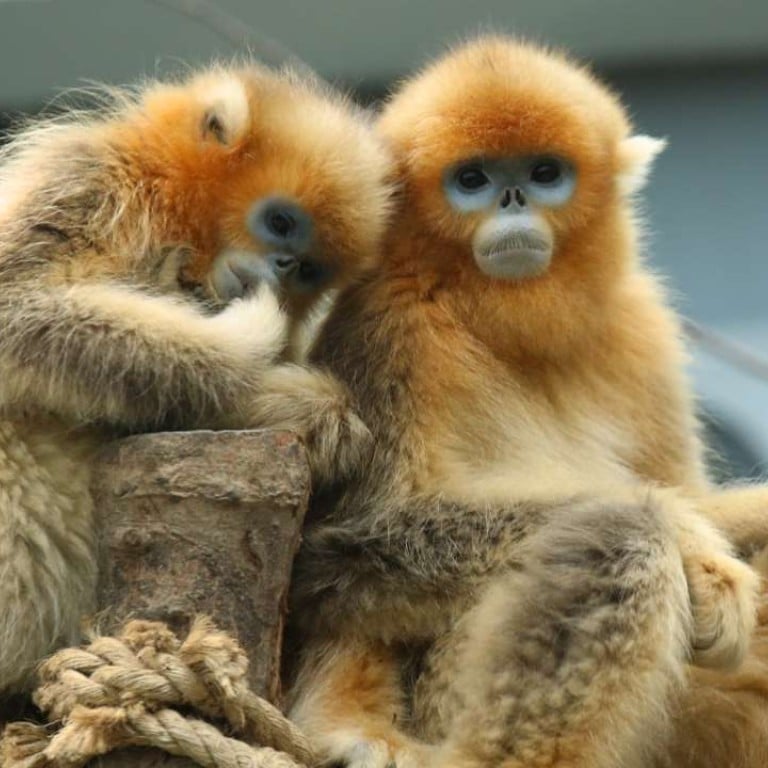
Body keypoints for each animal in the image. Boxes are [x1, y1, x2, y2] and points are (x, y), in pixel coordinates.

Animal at [0, 62, 391, 697]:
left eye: (309, 268)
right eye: (279, 221)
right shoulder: (93, 182)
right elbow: (17, 305)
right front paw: (246, 339)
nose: (284, 268)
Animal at [208, 37, 768, 768]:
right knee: (619, 534)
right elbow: (354, 540)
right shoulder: (392, 323)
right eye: (472, 180)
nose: (511, 197)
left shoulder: (642, 329)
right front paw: (700, 551)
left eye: (544, 172)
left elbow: (691, 492)